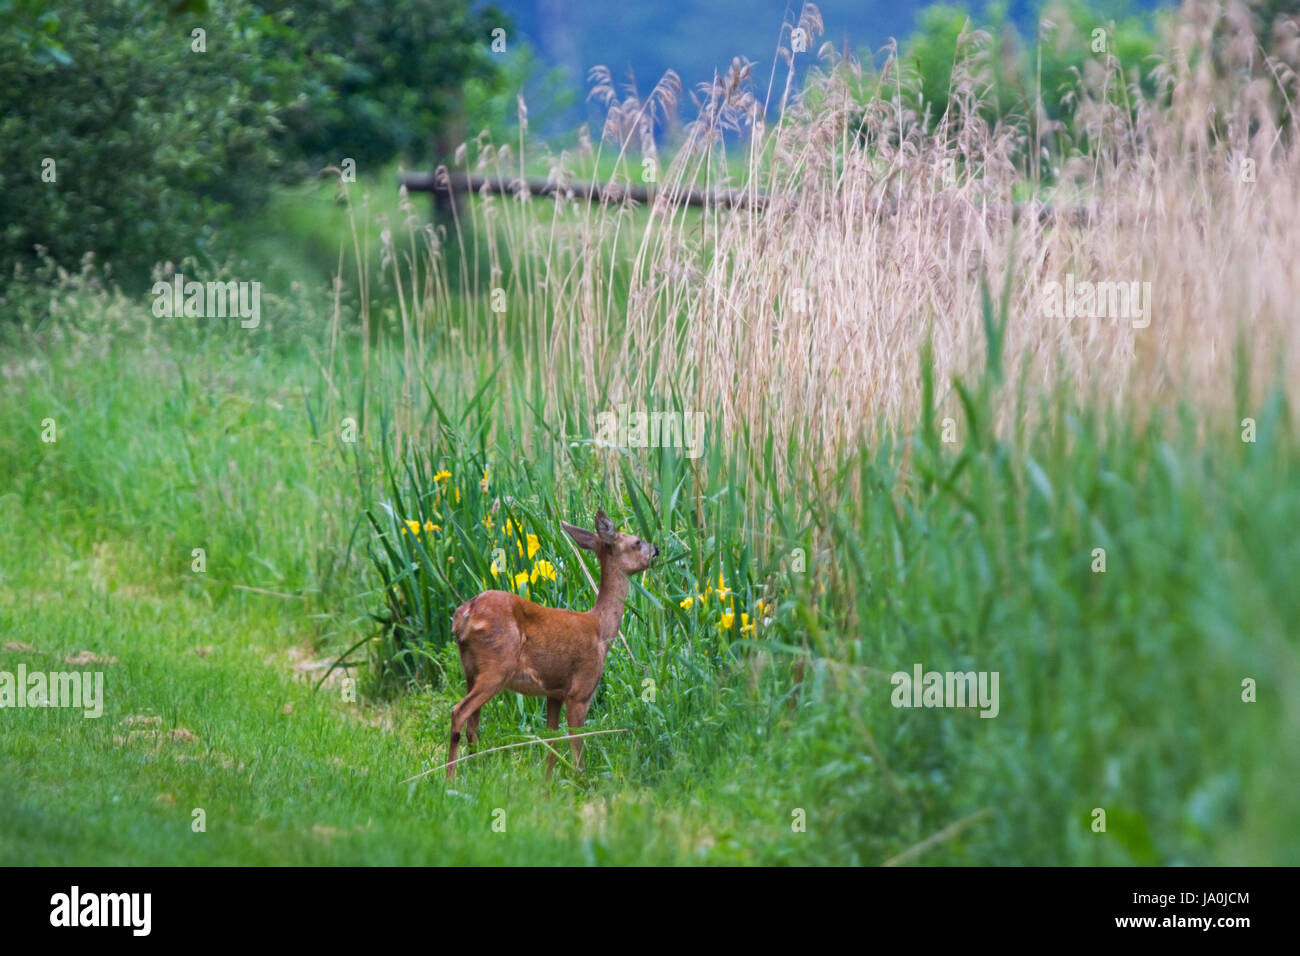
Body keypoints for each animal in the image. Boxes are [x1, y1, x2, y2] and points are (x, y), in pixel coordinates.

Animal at [445, 510, 658, 780]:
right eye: (637, 542)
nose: (657, 549)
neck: (600, 629)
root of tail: (464, 615)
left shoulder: (554, 693)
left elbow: (551, 741)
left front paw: (547, 783)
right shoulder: (580, 689)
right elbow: (577, 741)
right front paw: (581, 781)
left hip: (471, 670)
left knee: (472, 725)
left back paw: (474, 773)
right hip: (497, 667)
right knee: (458, 711)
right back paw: (450, 778)